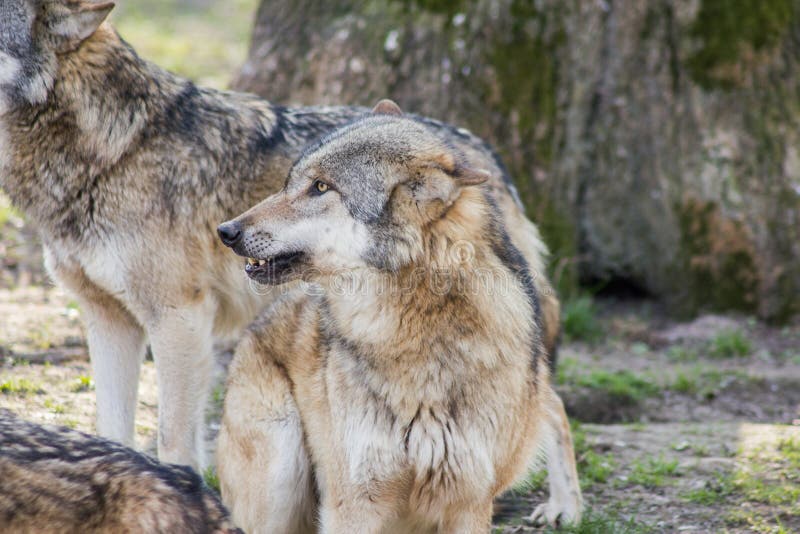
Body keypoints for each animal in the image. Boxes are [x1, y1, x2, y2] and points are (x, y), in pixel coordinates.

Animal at [215, 100, 582, 533]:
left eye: (321, 187)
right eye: (290, 183)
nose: (226, 231)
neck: (419, 331)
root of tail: (256, 326)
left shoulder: (469, 501)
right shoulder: (355, 501)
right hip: (278, 483)